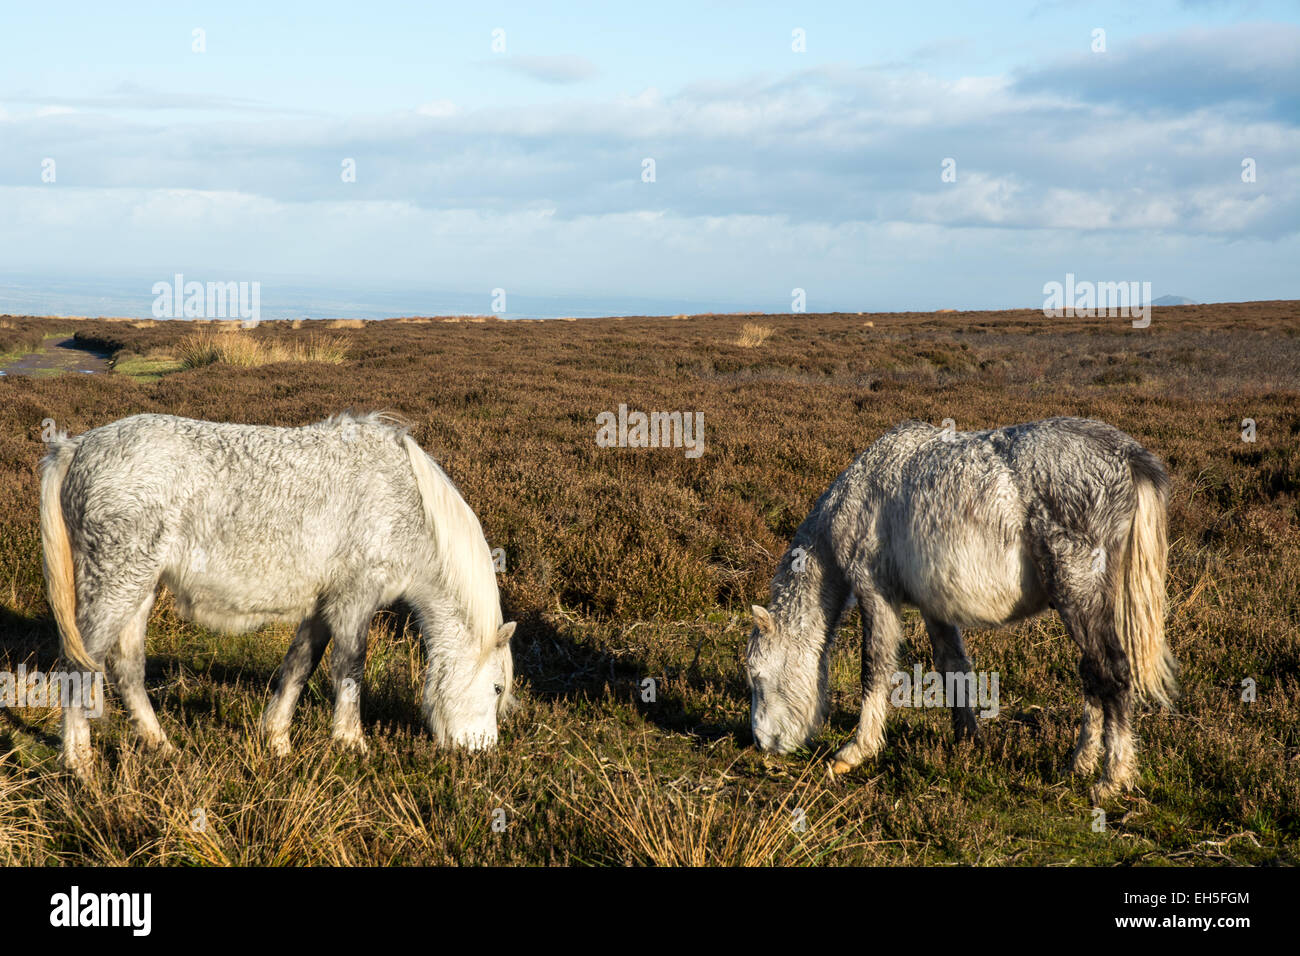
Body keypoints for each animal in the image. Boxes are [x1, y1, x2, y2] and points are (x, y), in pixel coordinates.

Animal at [38, 412, 515, 776]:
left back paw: (162, 747)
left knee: (127, 669)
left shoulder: (322, 606)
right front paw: (351, 744)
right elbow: (350, 668)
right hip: (116, 586)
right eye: (496, 688)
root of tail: (75, 448)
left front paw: (277, 741)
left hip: (139, 590)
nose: (483, 752)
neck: (404, 499)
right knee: (79, 666)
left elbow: (299, 666)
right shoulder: (354, 599)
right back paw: (79, 763)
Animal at [745, 417, 1176, 801]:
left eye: (757, 676)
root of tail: (1127, 458)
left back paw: (1111, 778)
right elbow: (953, 666)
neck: (862, 490)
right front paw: (968, 740)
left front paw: (854, 752)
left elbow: (874, 668)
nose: (763, 743)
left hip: (1078, 592)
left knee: (1111, 673)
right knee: (1092, 675)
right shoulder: (935, 606)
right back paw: (1080, 764)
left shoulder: (875, 592)